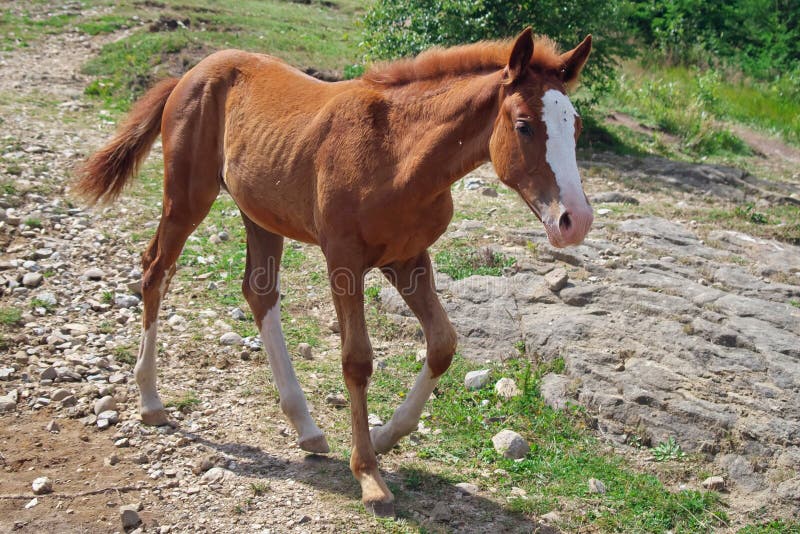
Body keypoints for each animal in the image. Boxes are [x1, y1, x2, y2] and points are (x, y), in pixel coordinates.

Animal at [76, 28, 593, 517]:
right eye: (524, 126)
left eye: (576, 127)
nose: (576, 220)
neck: (398, 152)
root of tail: (193, 72)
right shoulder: (344, 260)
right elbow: (357, 360)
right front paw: (369, 475)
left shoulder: (408, 258)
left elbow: (443, 343)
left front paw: (385, 436)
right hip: (187, 197)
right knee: (155, 271)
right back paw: (150, 401)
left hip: (259, 212)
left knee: (259, 291)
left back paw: (306, 428)